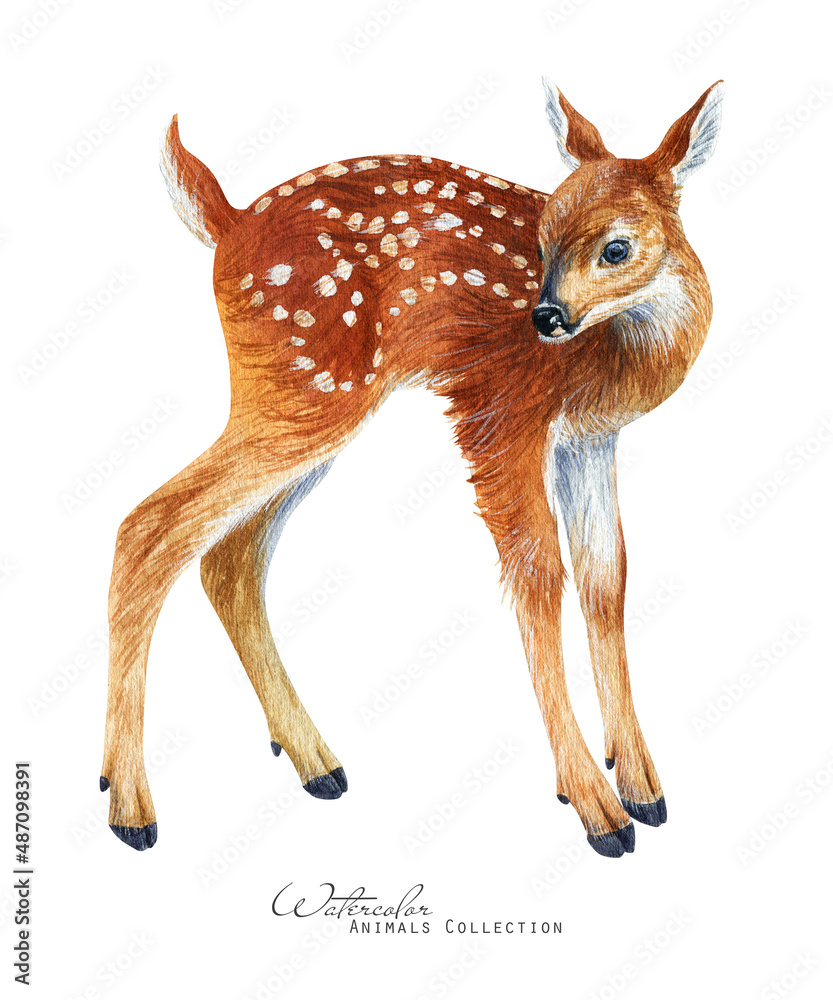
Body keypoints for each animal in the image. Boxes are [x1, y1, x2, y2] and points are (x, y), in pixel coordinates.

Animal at [100, 79, 724, 857]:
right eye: (544, 235)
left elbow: (606, 579)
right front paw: (595, 808)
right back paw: (131, 807)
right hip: (309, 392)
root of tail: (227, 222)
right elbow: (539, 575)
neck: (614, 354)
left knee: (229, 554)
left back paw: (314, 761)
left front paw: (640, 783)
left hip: (307, 408)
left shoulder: (588, 441)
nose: (545, 317)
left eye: (617, 247)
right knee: (150, 526)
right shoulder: (499, 412)